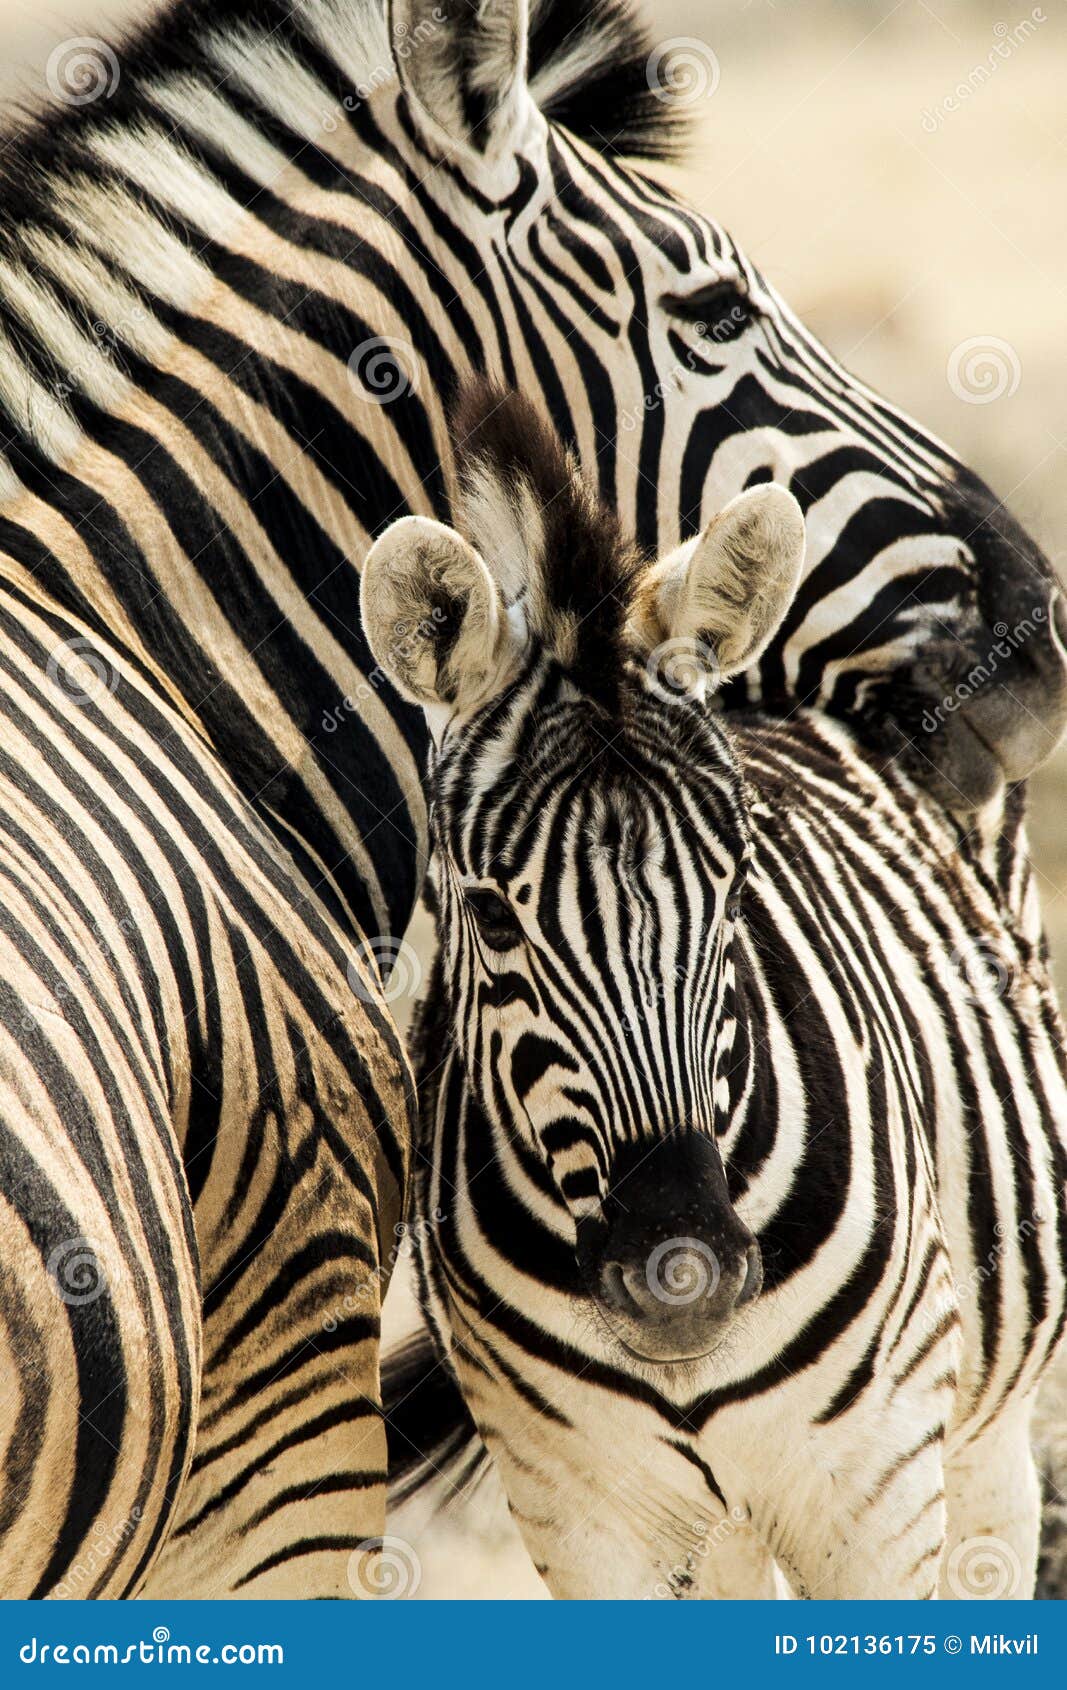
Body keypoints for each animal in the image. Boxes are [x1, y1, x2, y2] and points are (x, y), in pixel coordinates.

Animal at [370, 385, 1067, 1600]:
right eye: (493, 919)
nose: (679, 1274)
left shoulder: (877, 1491)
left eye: (738, 885)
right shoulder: (578, 1508)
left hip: (985, 1427)